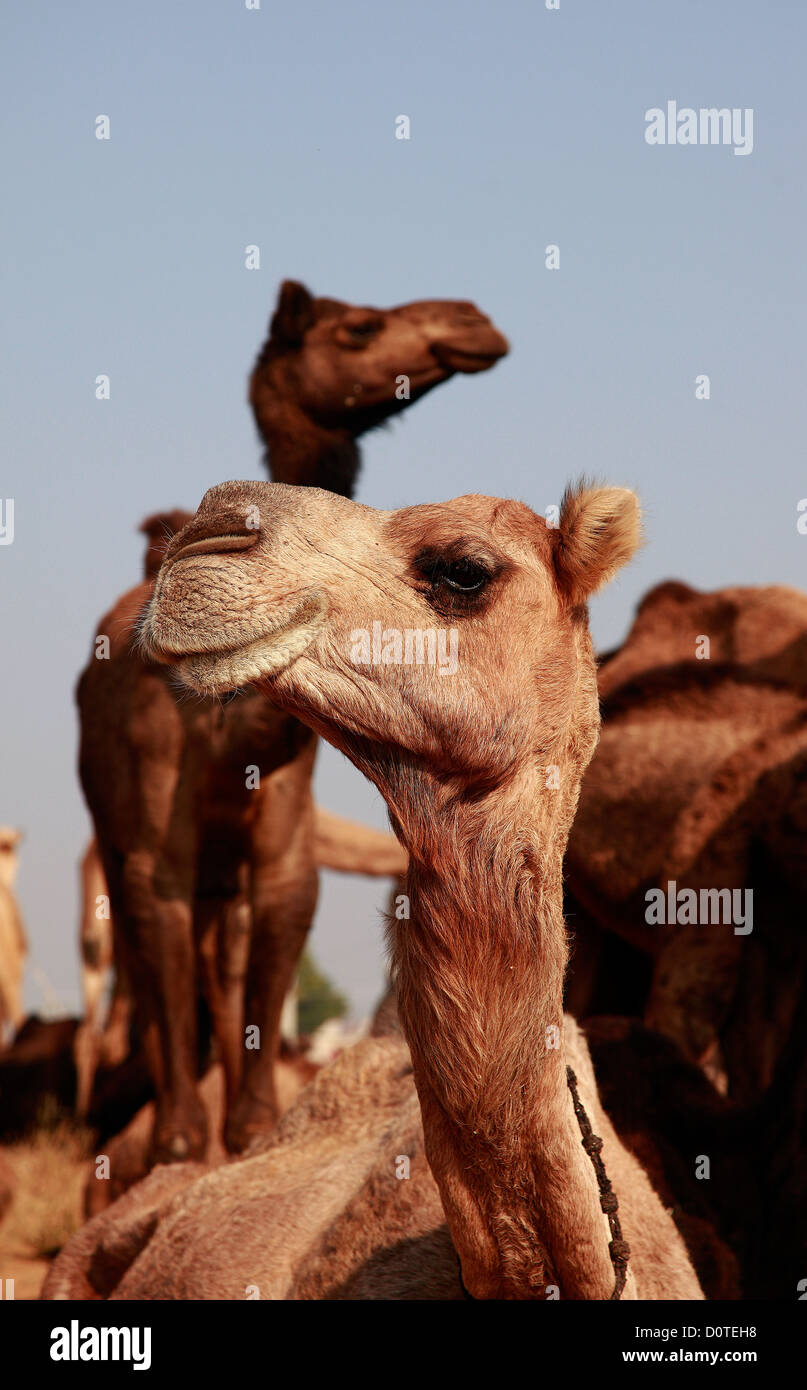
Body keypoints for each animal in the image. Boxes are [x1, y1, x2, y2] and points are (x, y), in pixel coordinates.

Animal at [77, 281, 508, 1167]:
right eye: (357, 329)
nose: (472, 320)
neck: (220, 737)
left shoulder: (285, 842)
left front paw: (248, 1139)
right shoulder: (152, 845)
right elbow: (162, 946)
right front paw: (177, 1150)